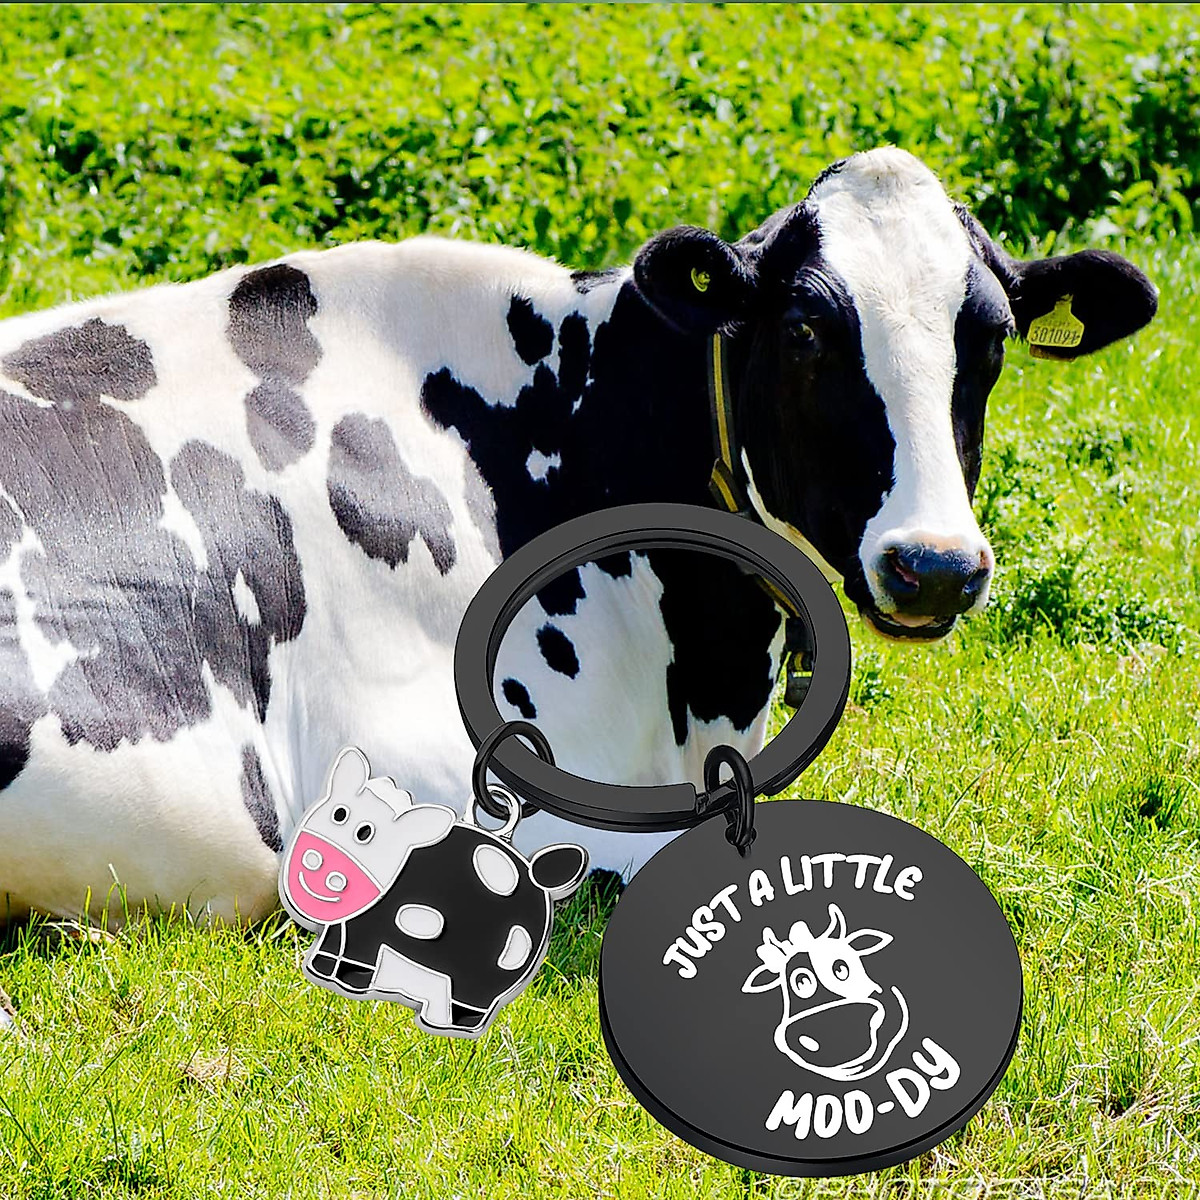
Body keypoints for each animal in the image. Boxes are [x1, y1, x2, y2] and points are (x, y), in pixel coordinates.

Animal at [280, 747, 587, 1036]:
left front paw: (348, 984)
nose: (316, 860)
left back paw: (452, 1026)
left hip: (489, 966)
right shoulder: (341, 923)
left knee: (472, 998)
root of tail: (537, 878)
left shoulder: (368, 929)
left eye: (365, 833)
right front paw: (321, 970)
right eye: (339, 814)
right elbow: (332, 943)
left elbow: (358, 954)